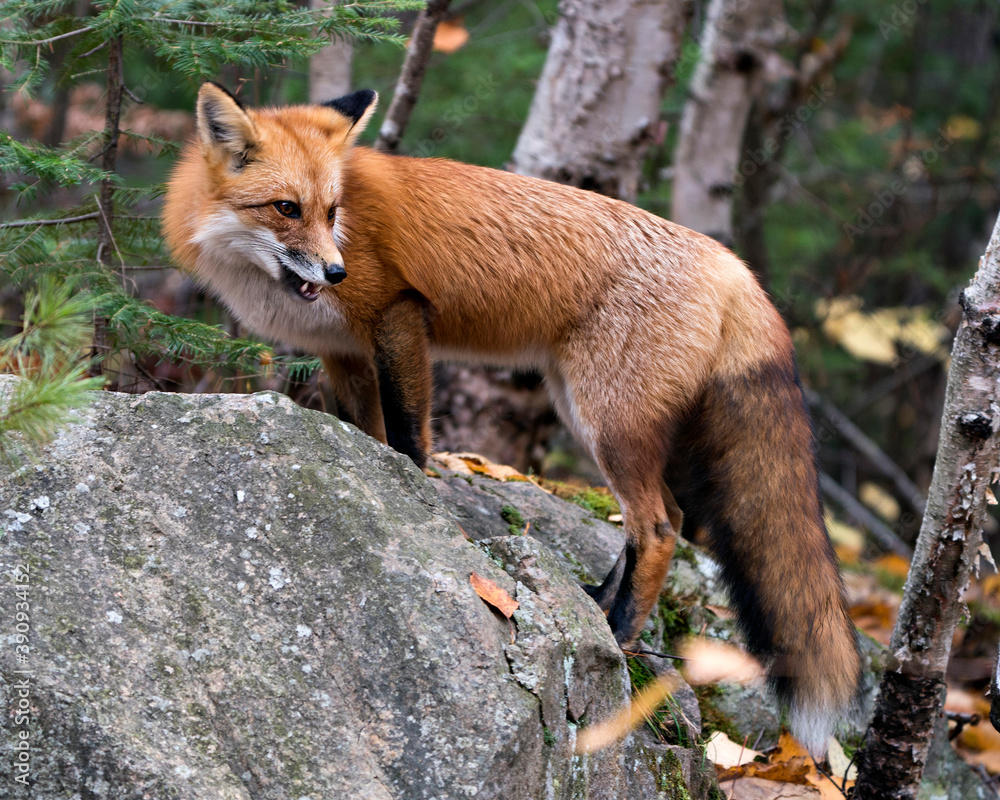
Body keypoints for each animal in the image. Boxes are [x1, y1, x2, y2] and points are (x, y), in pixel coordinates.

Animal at [162, 82, 861, 756]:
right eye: (287, 208)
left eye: (332, 212)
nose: (335, 270)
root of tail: (734, 264)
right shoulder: (344, 355)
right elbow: (366, 434)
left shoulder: (397, 315)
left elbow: (408, 439)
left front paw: (410, 496)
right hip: (582, 410)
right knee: (667, 516)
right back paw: (596, 606)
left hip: (606, 422)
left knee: (661, 527)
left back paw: (616, 635)